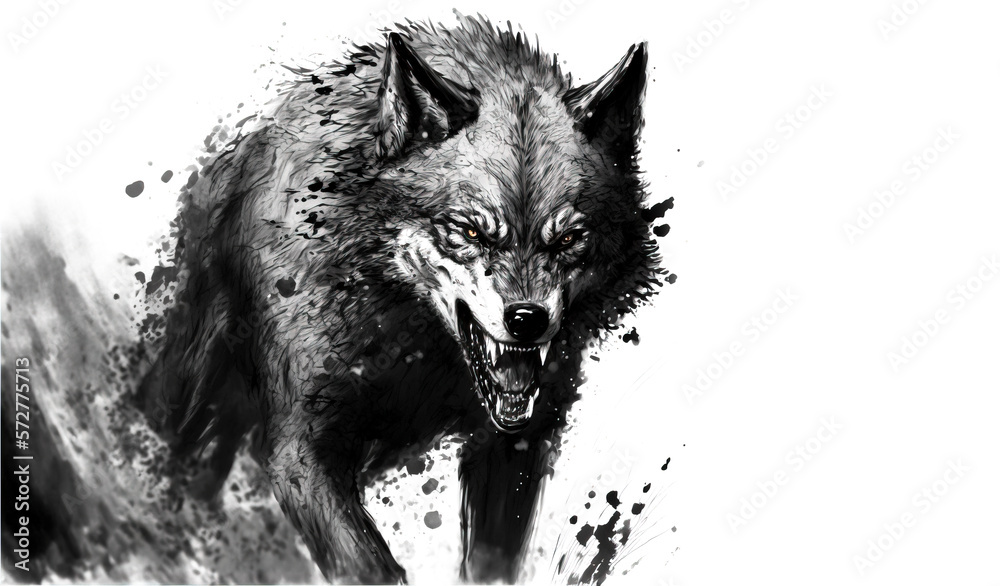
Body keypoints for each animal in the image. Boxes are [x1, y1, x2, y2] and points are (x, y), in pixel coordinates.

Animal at [140, 15, 663, 584]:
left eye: (568, 238)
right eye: (470, 231)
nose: (528, 319)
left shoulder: (515, 446)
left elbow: (491, 562)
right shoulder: (300, 451)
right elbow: (369, 565)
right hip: (188, 398)